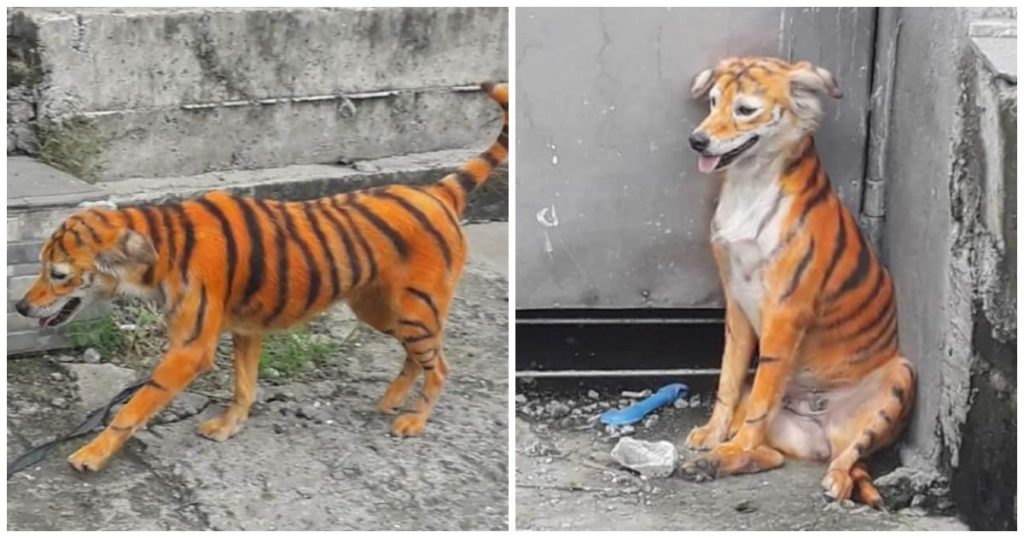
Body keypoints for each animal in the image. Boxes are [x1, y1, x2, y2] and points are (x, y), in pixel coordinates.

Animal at [14, 82, 509, 473]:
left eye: (58, 274)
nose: (20, 306)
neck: (159, 248)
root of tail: (437, 191)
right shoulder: (246, 330)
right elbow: (244, 386)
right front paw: (228, 426)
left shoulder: (191, 348)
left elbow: (134, 406)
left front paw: (91, 454)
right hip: (380, 308)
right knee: (417, 356)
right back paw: (391, 401)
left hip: (414, 310)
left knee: (439, 365)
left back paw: (413, 420)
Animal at [679, 57, 915, 508]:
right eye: (714, 101)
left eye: (745, 110)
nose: (696, 141)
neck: (749, 183)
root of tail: (821, 426)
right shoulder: (736, 304)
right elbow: (728, 379)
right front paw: (714, 436)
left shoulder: (785, 310)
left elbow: (760, 400)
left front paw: (731, 444)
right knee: (771, 456)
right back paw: (712, 463)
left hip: (900, 377)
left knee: (848, 460)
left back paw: (832, 481)